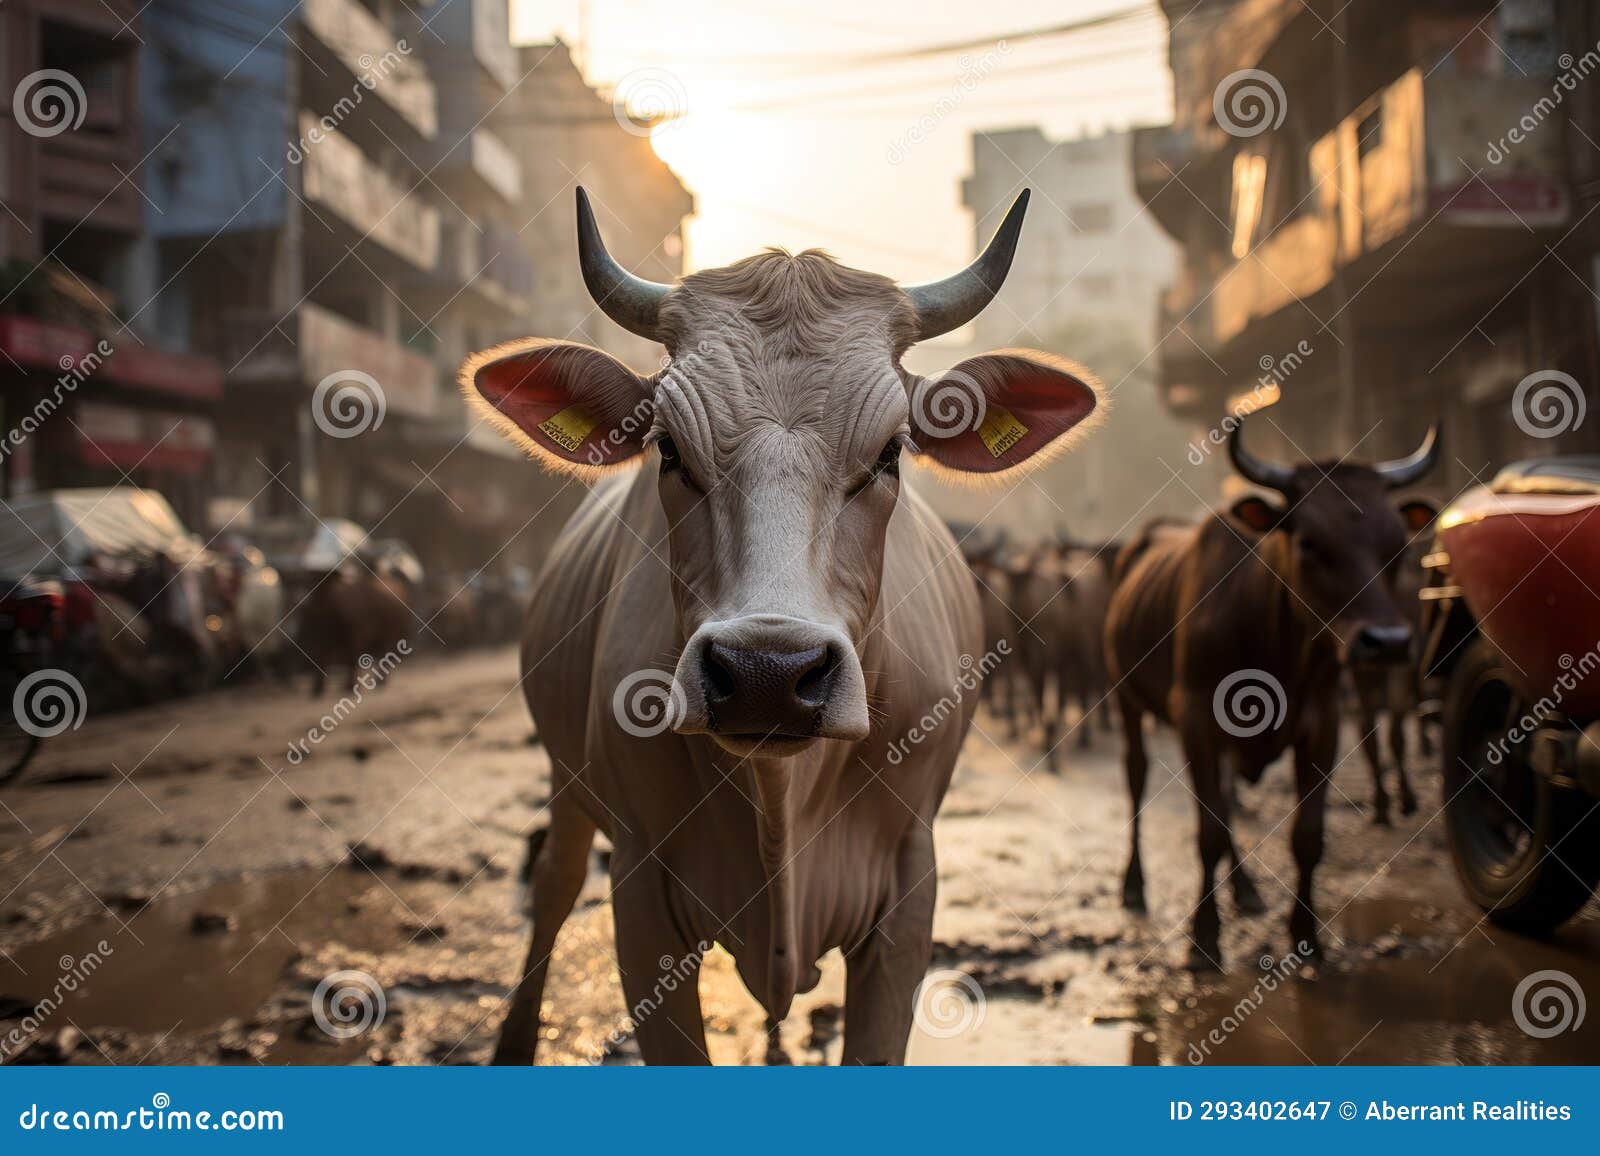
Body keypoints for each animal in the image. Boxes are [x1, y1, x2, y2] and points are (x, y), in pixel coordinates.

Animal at [462, 188, 1103, 1064]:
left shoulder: (908, 890)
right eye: (669, 449)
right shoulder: (639, 893)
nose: (768, 675)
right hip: (566, 781)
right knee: (555, 885)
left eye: (891, 453)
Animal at [1104, 417, 1438, 969]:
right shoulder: (1195, 720)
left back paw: (1246, 890)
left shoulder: (1323, 725)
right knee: (1137, 777)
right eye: (1309, 543)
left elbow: (1307, 837)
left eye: (1398, 547)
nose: (1388, 642)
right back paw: (1133, 885)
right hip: (1124, 699)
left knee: (1225, 801)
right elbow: (1208, 833)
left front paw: (1307, 936)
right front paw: (1203, 938)